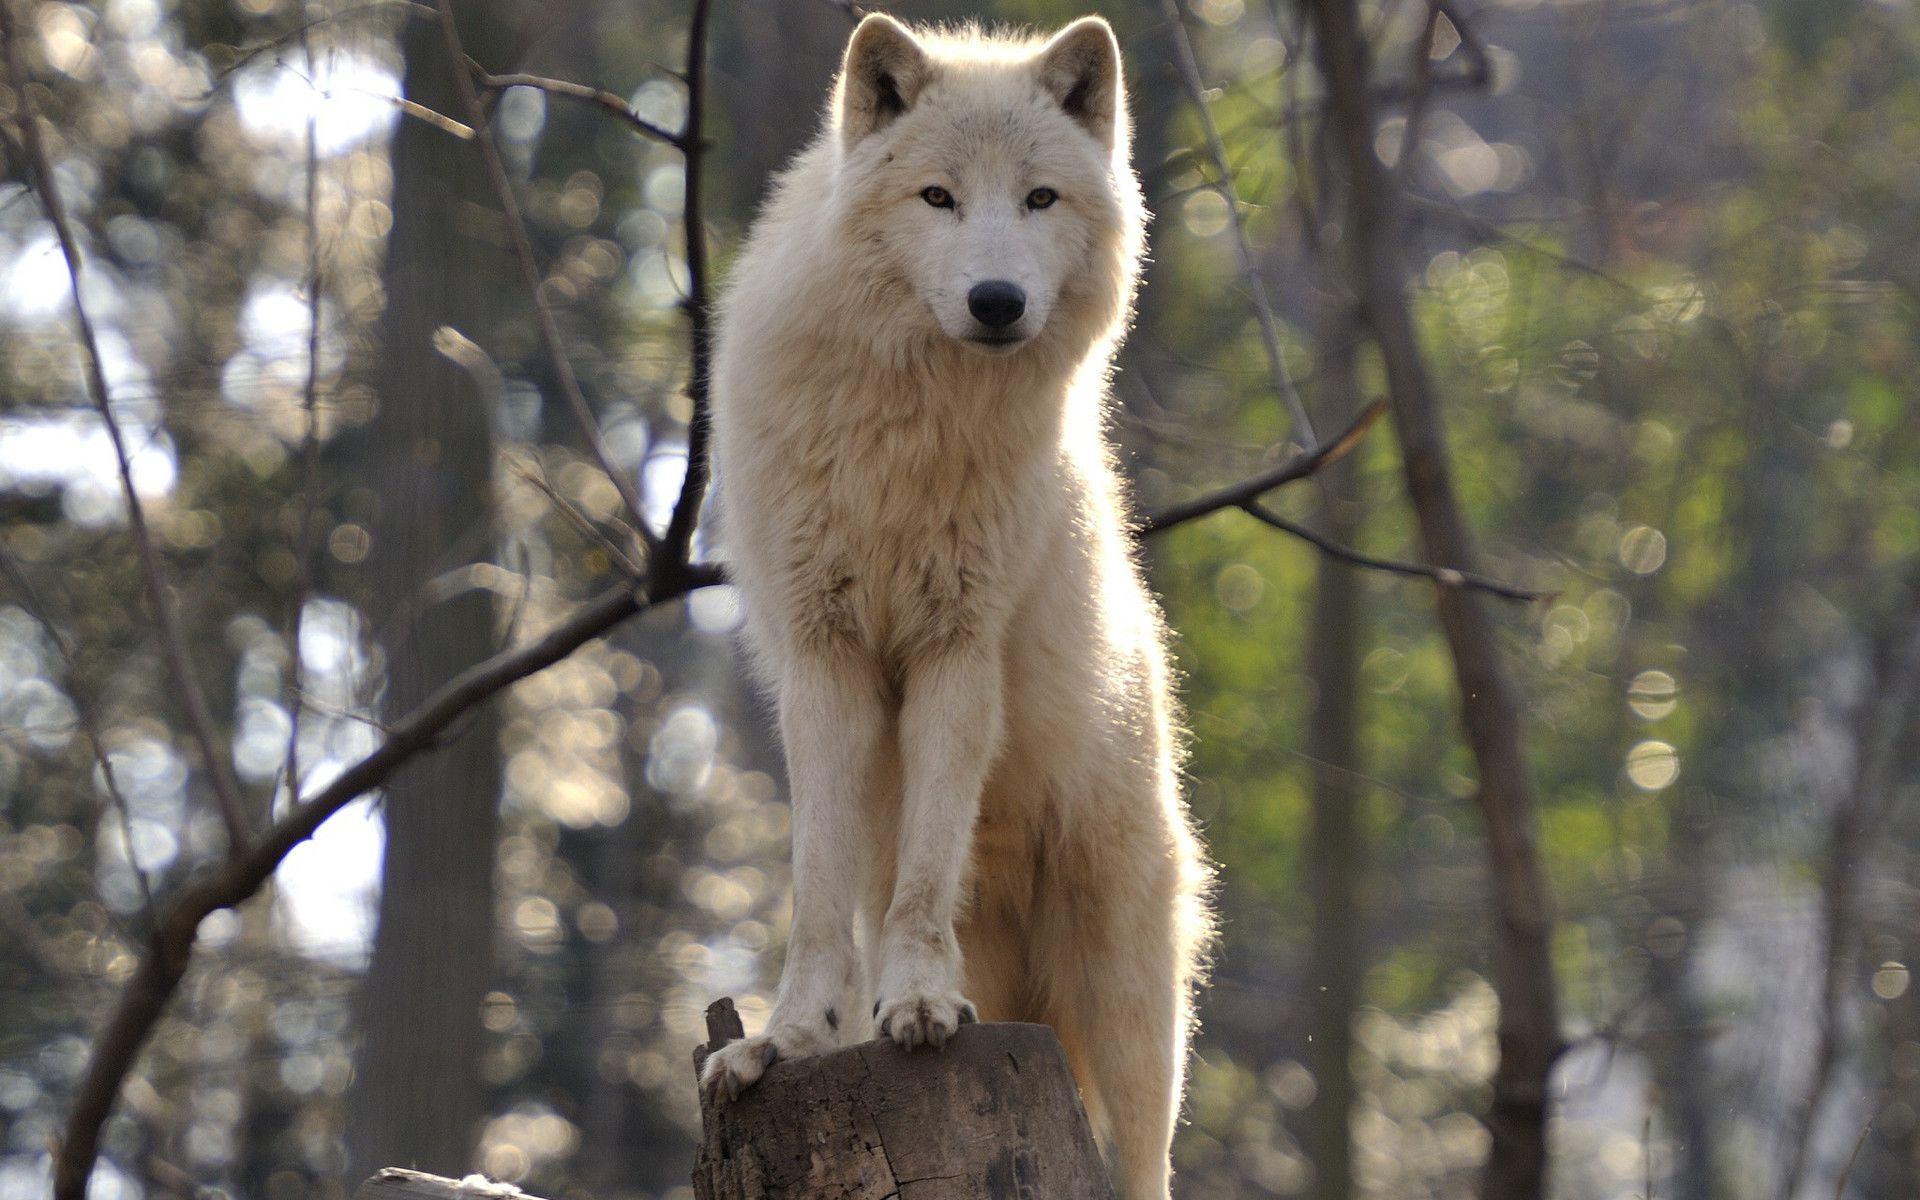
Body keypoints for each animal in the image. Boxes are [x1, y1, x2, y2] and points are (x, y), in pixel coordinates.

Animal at [699, 14, 1212, 1198]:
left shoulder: (957, 650)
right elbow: (817, 888)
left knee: (1145, 1157)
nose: (995, 302)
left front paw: (922, 1005)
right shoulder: (826, 659)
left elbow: (927, 873)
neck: (911, 427)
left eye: (1039, 200)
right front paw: (788, 1039)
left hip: (1130, 999)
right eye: (936, 197)